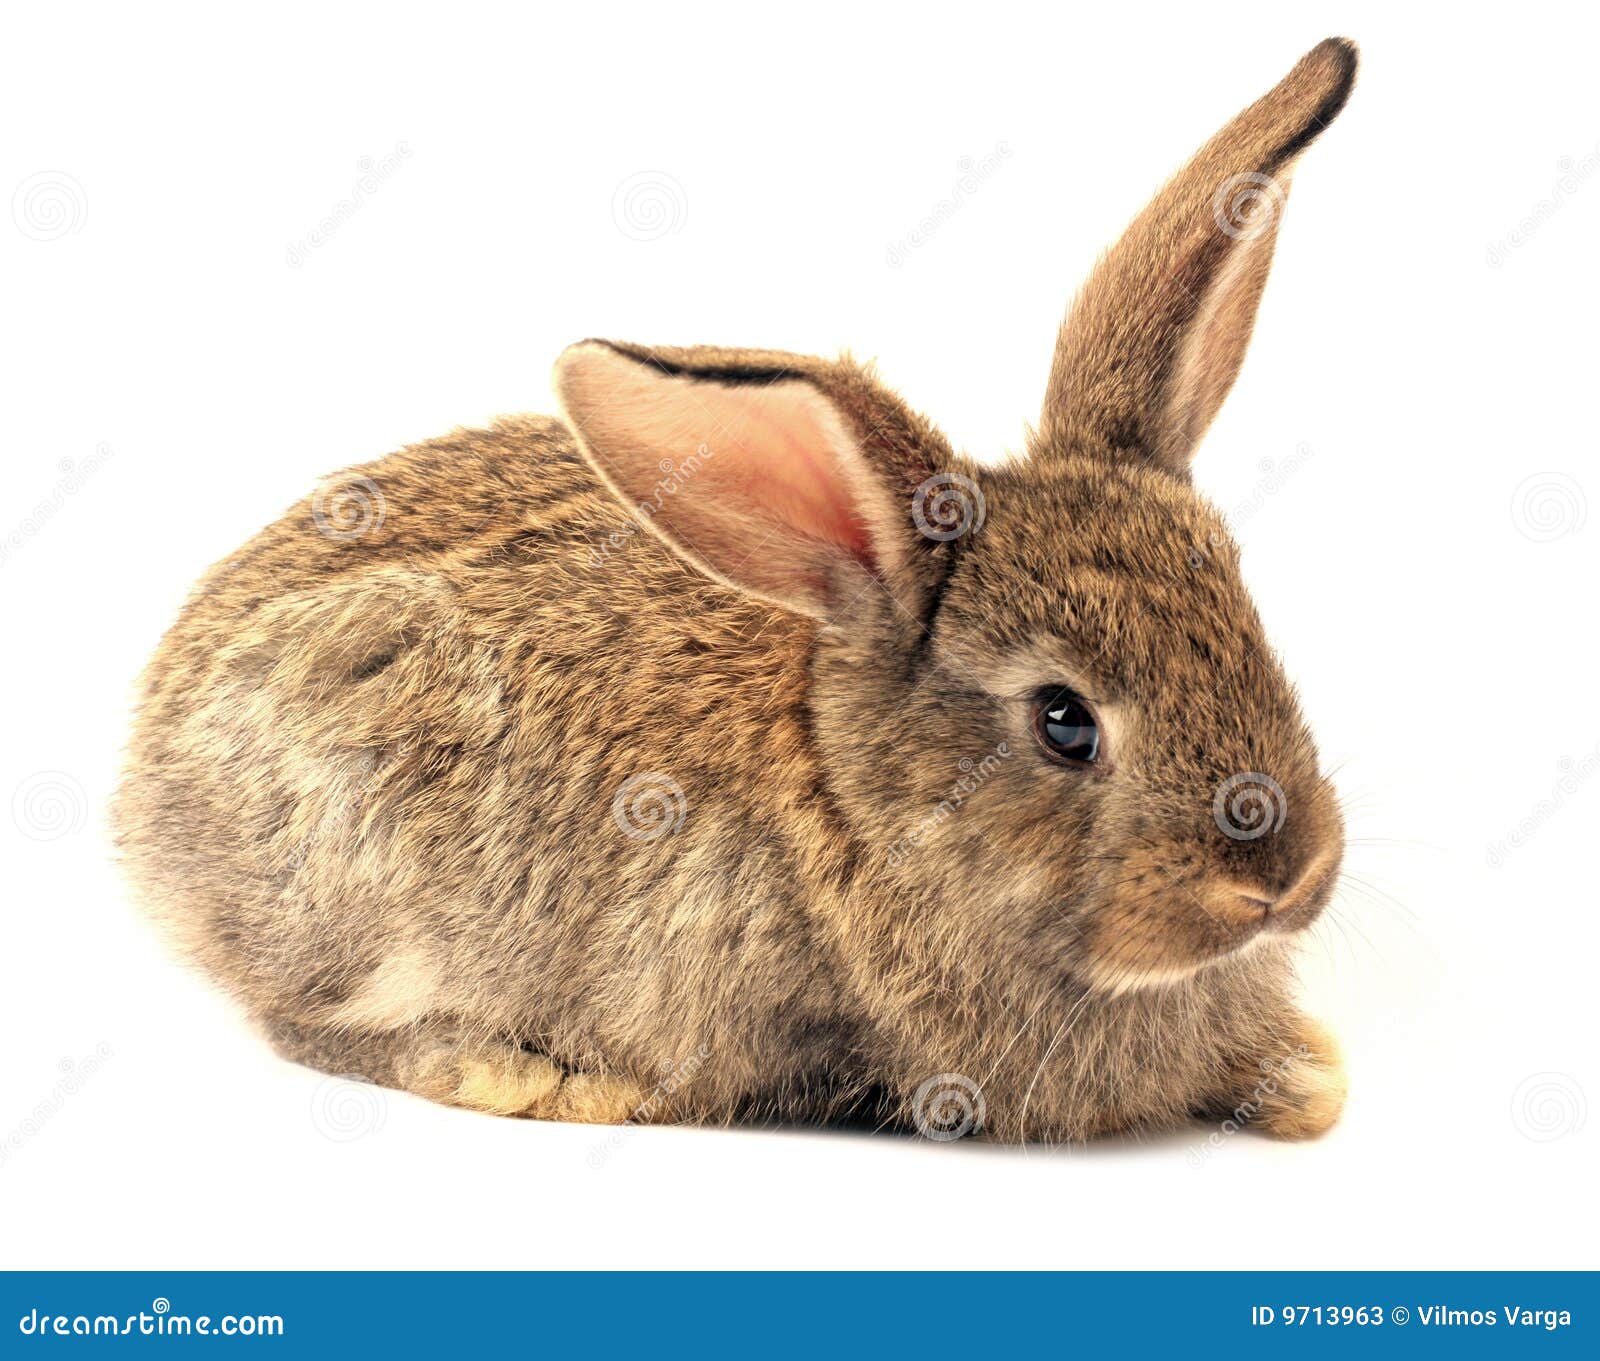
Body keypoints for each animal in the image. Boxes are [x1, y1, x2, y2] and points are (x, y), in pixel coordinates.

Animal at [114, 38, 1358, 1144]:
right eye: (1063, 721)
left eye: (1254, 630)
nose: (1283, 878)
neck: (862, 808)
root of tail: (143, 790)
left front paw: (1306, 1079)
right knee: (308, 1019)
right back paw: (515, 1072)